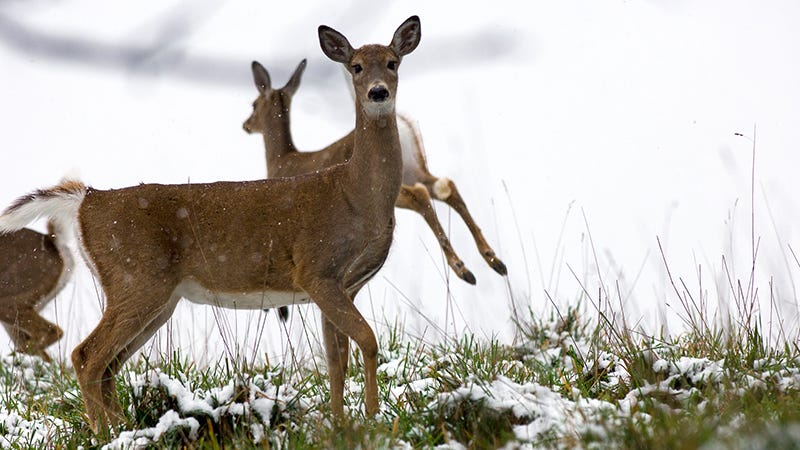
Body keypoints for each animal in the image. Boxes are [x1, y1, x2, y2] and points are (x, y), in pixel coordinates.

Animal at [242, 60, 507, 286]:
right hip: (416, 169)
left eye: (254, 104)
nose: (246, 125)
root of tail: (401, 124)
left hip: (395, 188)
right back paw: (494, 262)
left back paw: (463, 269)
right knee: (446, 187)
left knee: (421, 195)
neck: (282, 159)